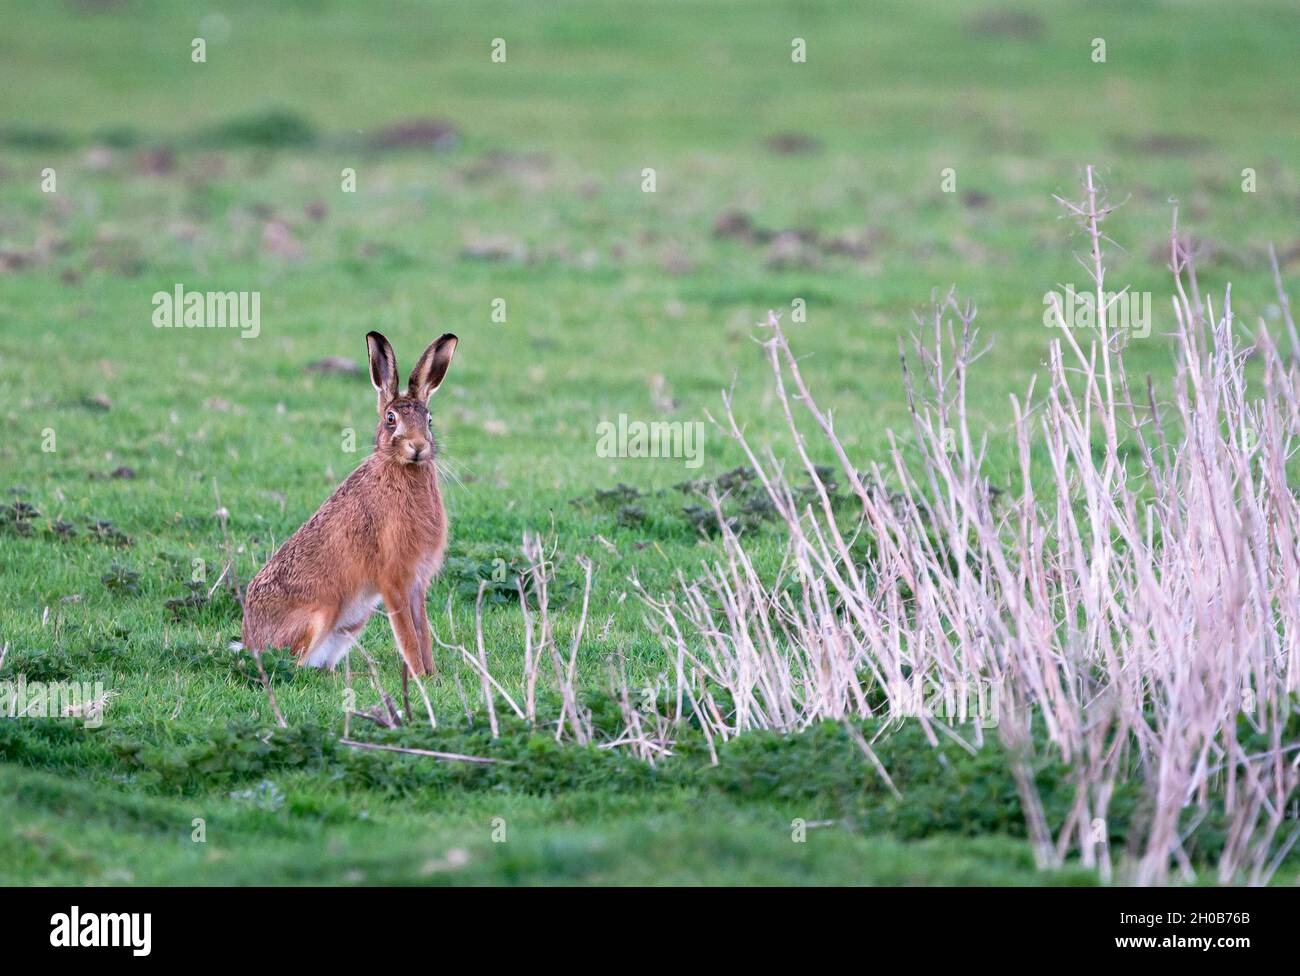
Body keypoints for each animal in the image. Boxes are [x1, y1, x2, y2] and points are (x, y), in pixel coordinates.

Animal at [239, 330, 458, 677]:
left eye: (430, 419)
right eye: (391, 418)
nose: (418, 447)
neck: (400, 469)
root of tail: (250, 641)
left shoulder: (417, 583)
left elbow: (422, 630)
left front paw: (431, 674)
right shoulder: (393, 578)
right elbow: (408, 635)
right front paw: (419, 675)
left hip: (353, 621)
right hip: (321, 614)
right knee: (294, 664)